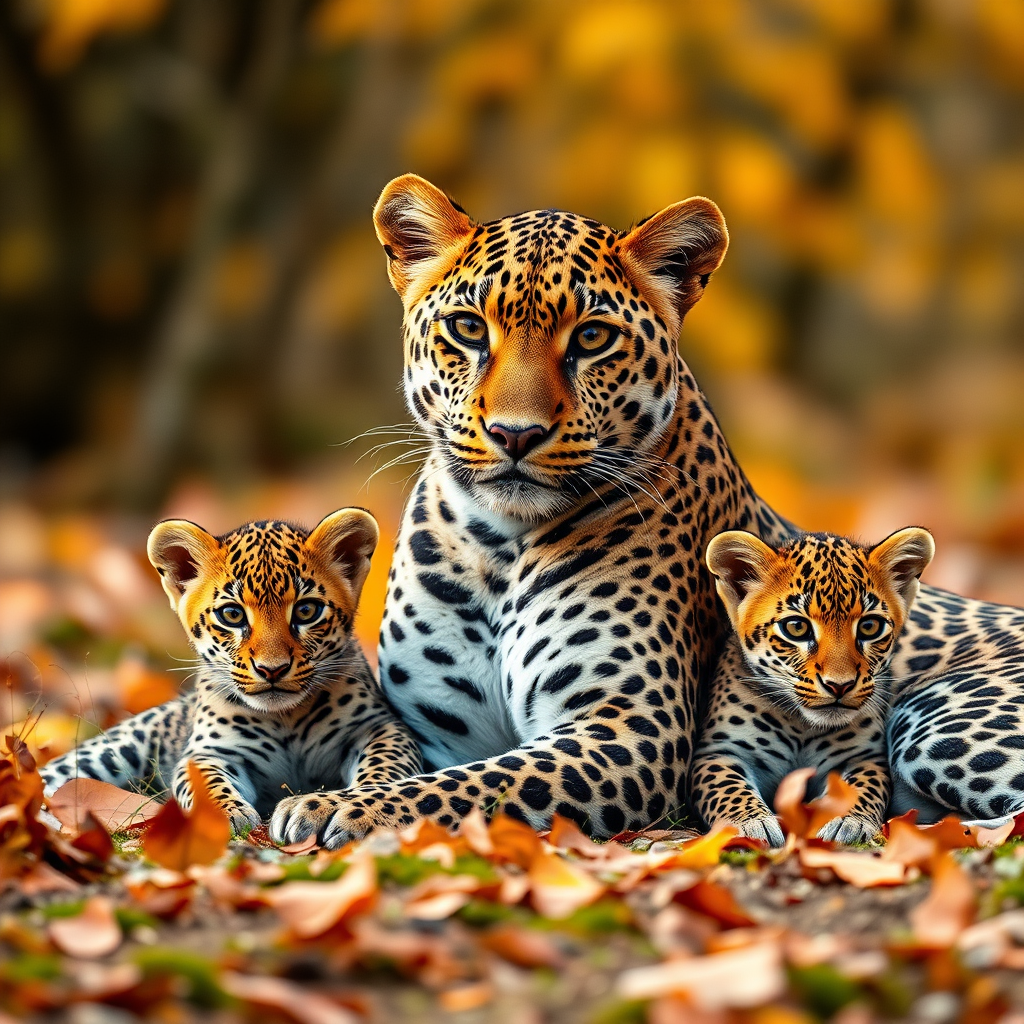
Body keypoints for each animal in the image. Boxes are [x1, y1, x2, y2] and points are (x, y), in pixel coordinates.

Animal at [41, 510, 421, 833]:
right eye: (233, 615)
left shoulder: (378, 726)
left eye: (307, 611)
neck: (286, 719)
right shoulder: (210, 752)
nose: (272, 669)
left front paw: (359, 797)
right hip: (116, 749)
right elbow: (204, 784)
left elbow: (388, 760)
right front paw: (223, 815)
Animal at [691, 527, 934, 847]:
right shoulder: (720, 751)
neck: (802, 727)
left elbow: (864, 786)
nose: (840, 685)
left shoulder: (864, 757)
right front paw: (753, 824)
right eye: (796, 627)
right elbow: (726, 787)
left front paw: (847, 821)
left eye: (870, 627)